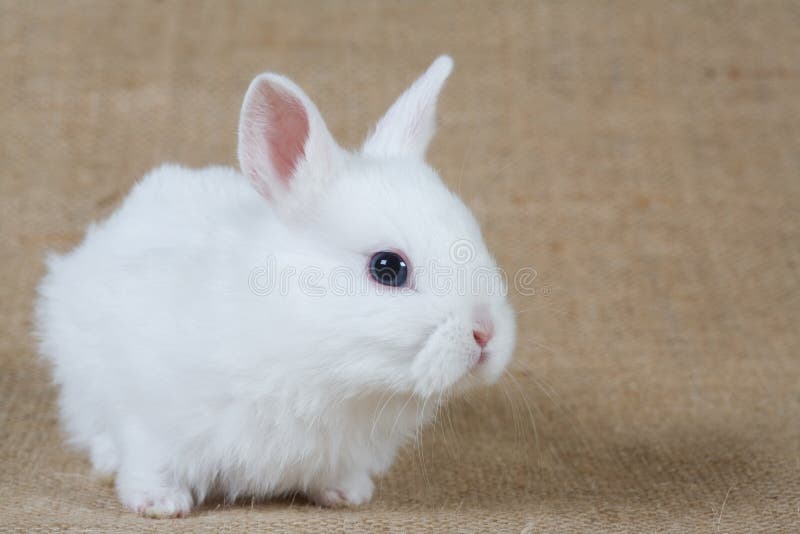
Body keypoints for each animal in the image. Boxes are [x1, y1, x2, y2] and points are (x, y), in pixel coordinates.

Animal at [34, 55, 516, 518]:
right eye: (387, 268)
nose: (485, 334)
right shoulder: (150, 415)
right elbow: (151, 461)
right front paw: (158, 504)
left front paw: (349, 494)